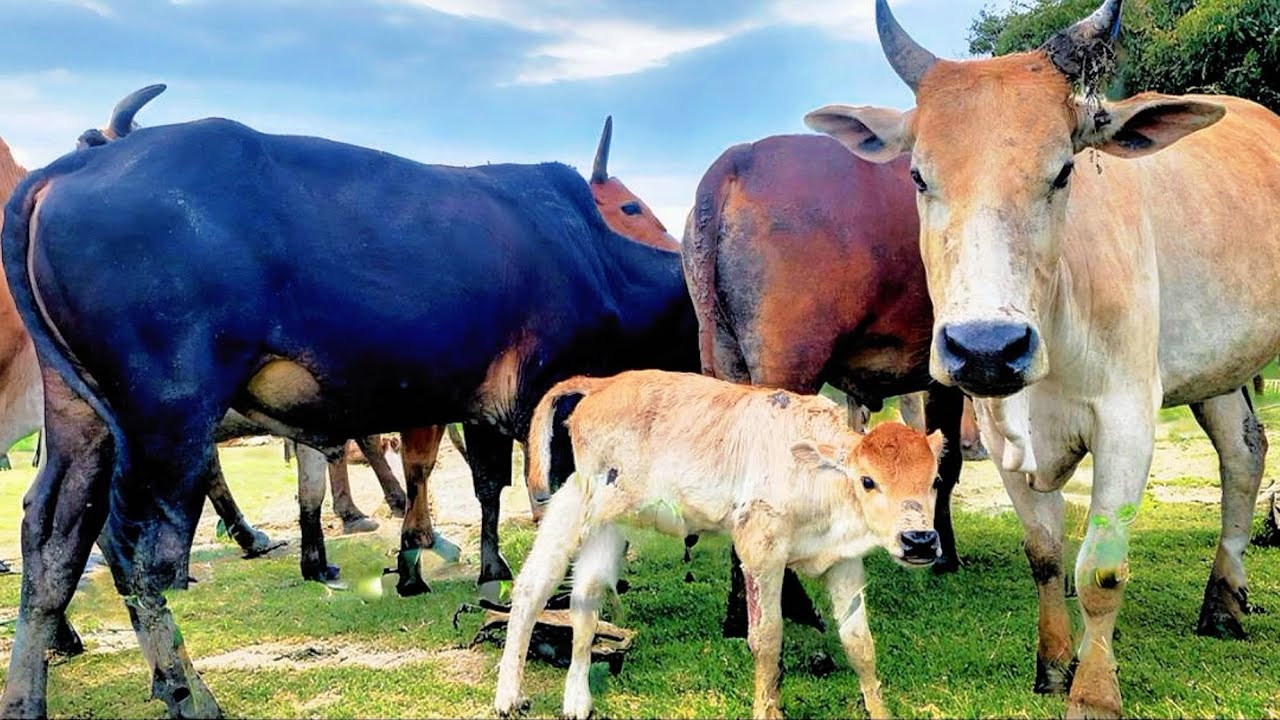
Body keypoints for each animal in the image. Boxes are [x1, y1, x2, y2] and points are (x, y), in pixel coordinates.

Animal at [0, 109, 698, 716]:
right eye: (630, 207)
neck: (599, 261)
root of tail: (70, 167)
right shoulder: (543, 399)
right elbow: (546, 504)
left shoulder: (482, 409)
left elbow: (488, 487)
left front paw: (486, 579)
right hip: (167, 421)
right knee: (136, 553)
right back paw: (187, 693)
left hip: (84, 421)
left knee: (51, 539)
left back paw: (29, 694)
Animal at [494, 370, 945, 720]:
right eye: (868, 480)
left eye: (935, 480)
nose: (919, 540)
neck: (817, 474)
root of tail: (603, 385)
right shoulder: (760, 552)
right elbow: (767, 638)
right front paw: (767, 710)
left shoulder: (844, 563)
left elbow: (859, 643)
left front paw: (879, 710)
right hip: (584, 506)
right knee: (537, 586)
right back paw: (509, 696)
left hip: (607, 523)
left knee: (579, 599)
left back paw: (573, 700)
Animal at [804, 0, 1280, 716]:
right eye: (918, 175)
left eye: (1064, 171)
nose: (986, 346)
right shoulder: (997, 425)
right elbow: (1046, 554)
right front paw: (1053, 665)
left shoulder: (1127, 417)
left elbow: (1101, 569)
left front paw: (1094, 692)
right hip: (1217, 372)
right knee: (1244, 450)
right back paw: (1223, 602)